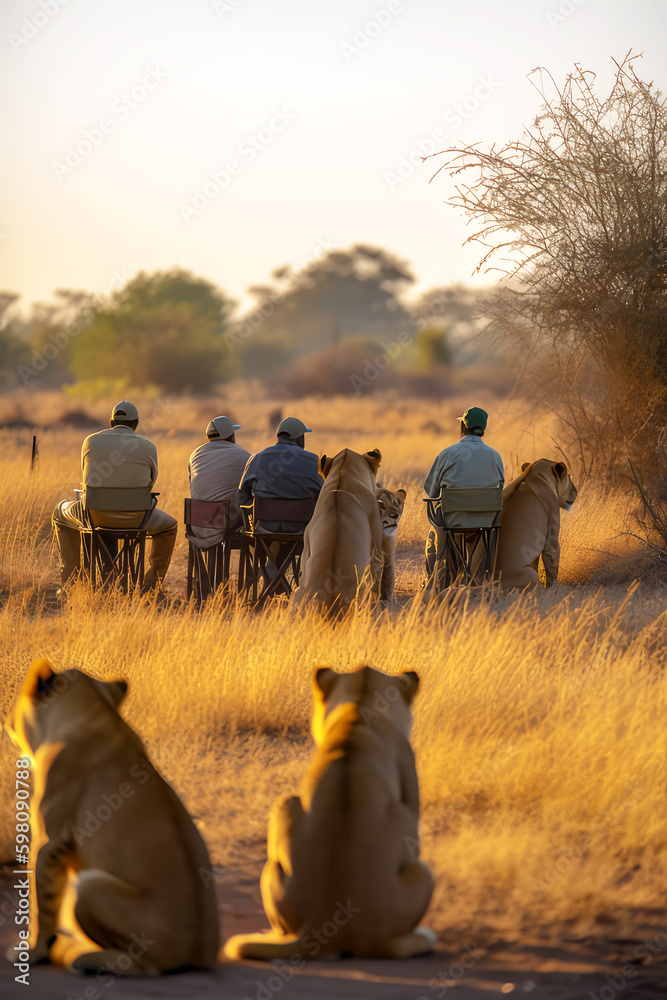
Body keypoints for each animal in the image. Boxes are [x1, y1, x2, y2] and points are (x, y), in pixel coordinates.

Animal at [4, 657, 219, 975]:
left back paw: (81, 956)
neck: (95, 712)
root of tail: (197, 955)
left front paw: (32, 952)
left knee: (145, 965)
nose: (5, 720)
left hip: (88, 886)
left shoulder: (49, 839)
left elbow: (40, 903)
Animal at [495, 459, 578, 589]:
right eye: (569, 477)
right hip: (529, 575)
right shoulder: (553, 509)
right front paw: (551, 589)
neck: (534, 474)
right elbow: (552, 560)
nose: (577, 492)